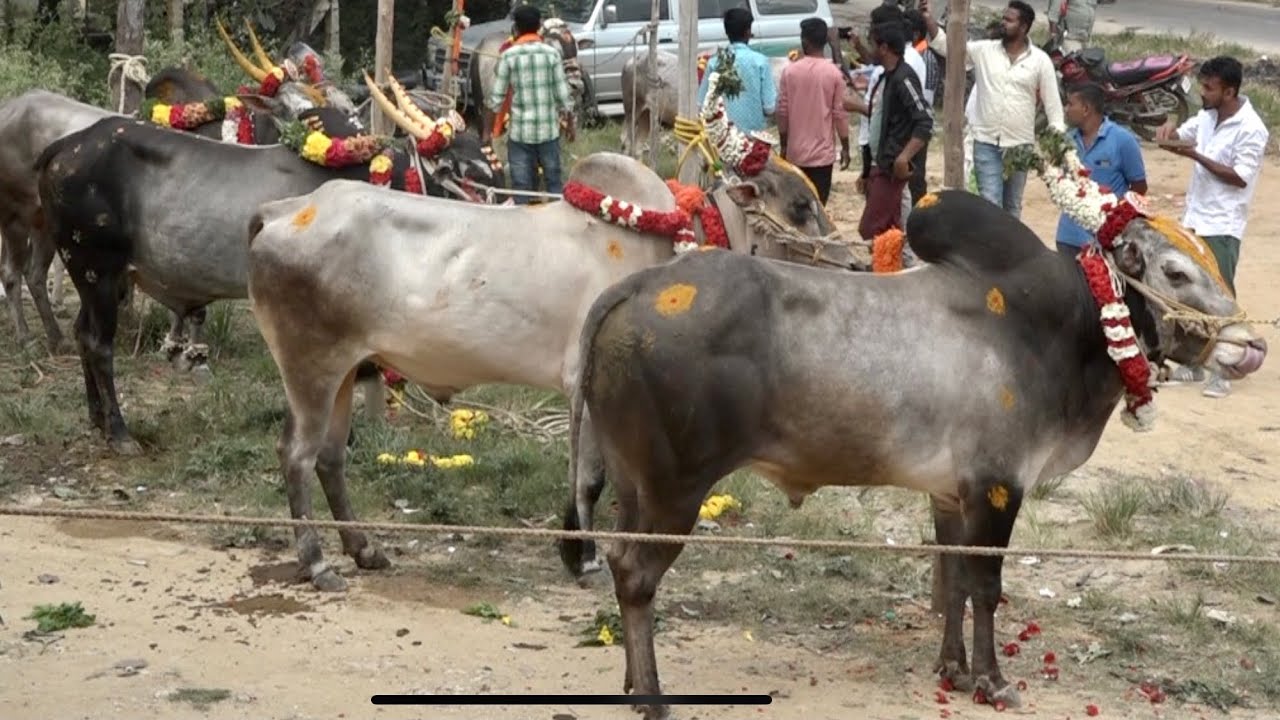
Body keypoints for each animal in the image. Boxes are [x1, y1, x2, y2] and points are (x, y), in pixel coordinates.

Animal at [32, 76, 502, 456]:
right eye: (452, 164)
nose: (500, 196)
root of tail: (67, 147)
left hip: (96, 277)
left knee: (82, 334)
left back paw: (97, 419)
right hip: (95, 267)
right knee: (98, 343)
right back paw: (119, 432)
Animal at [243, 134, 856, 591]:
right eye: (801, 206)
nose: (852, 262)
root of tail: (284, 211)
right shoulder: (587, 385)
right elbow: (592, 479)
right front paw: (581, 556)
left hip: (347, 369)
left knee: (329, 459)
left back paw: (363, 548)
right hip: (311, 366)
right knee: (296, 455)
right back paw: (317, 562)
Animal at [562, 188, 1267, 718]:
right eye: (1176, 272)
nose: (1251, 345)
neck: (1066, 327)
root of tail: (641, 286)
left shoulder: (951, 493)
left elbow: (951, 579)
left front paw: (953, 668)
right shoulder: (998, 486)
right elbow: (985, 586)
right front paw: (993, 680)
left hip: (635, 487)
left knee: (624, 568)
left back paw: (633, 685)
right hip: (675, 491)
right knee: (634, 576)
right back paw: (654, 700)